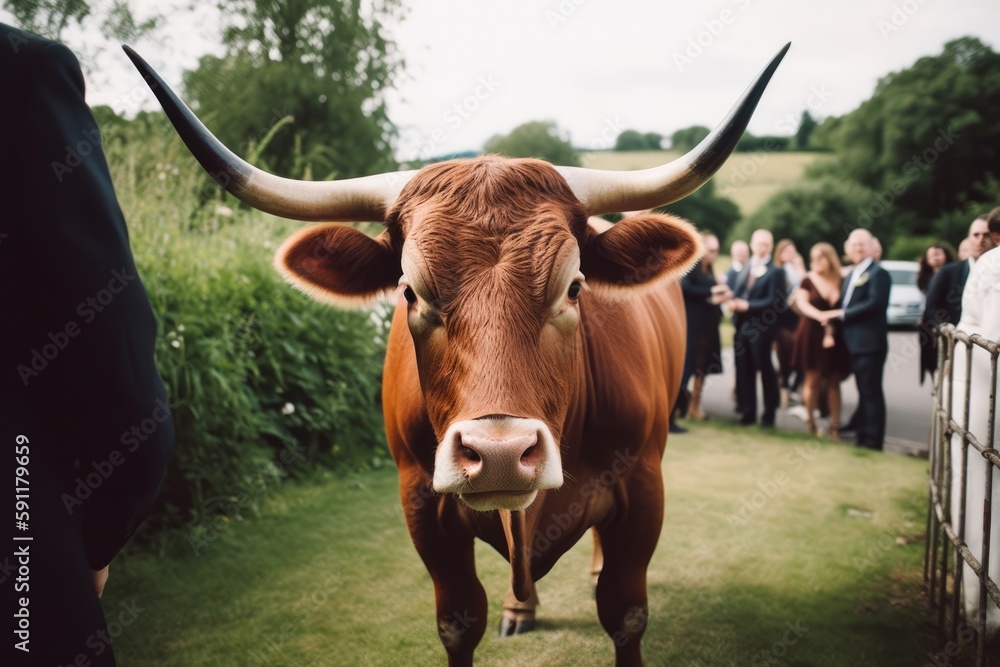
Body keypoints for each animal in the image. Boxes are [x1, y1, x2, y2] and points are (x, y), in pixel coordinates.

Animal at [125, 43, 788, 666]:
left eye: (574, 287)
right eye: (409, 291)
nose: (499, 455)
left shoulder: (643, 487)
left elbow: (625, 613)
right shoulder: (421, 505)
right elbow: (458, 620)